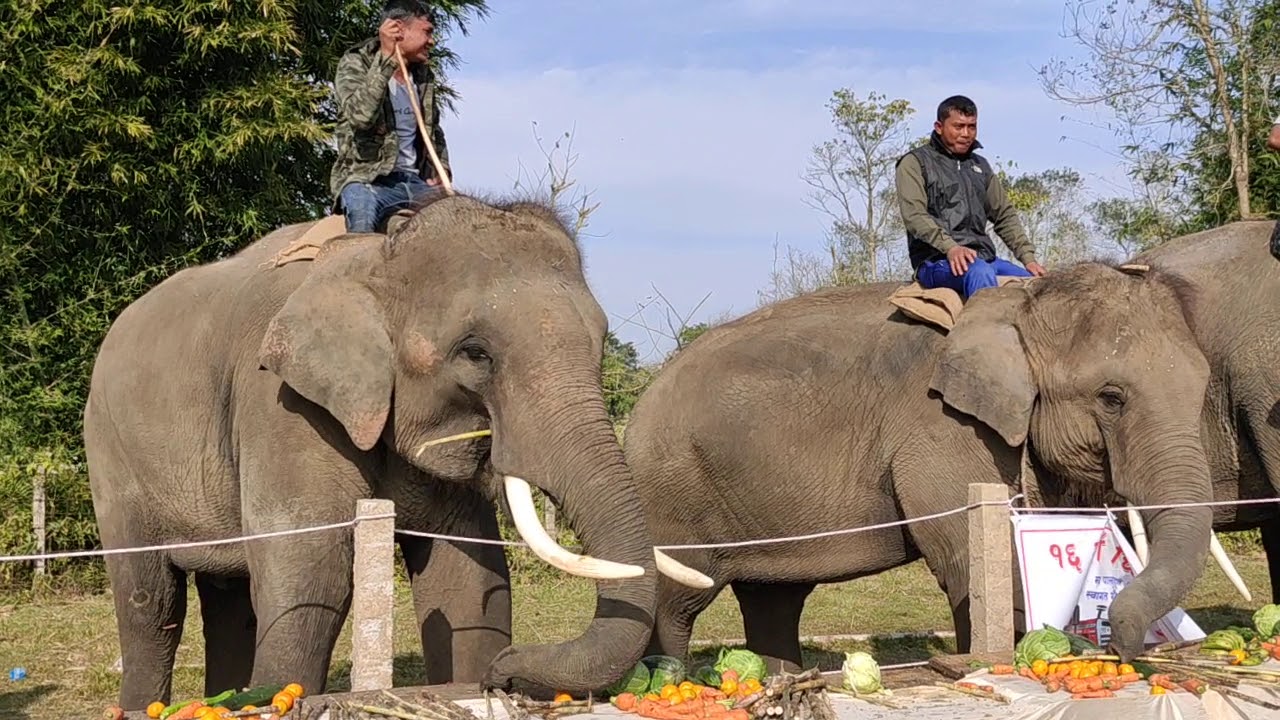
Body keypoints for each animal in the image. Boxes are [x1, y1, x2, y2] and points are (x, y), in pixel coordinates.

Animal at [82, 193, 708, 710]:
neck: (376, 256)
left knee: (227, 599)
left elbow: (467, 576)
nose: (504, 675)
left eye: (601, 344)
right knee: (150, 600)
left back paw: (228, 697)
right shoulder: (282, 404)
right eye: (475, 353)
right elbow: (307, 568)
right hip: (110, 451)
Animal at [623, 247, 1235, 673]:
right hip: (671, 490)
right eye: (1112, 397)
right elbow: (968, 553)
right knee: (677, 602)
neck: (1022, 301)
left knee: (774, 598)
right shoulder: (945, 428)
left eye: (1202, 387)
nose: (1121, 644)